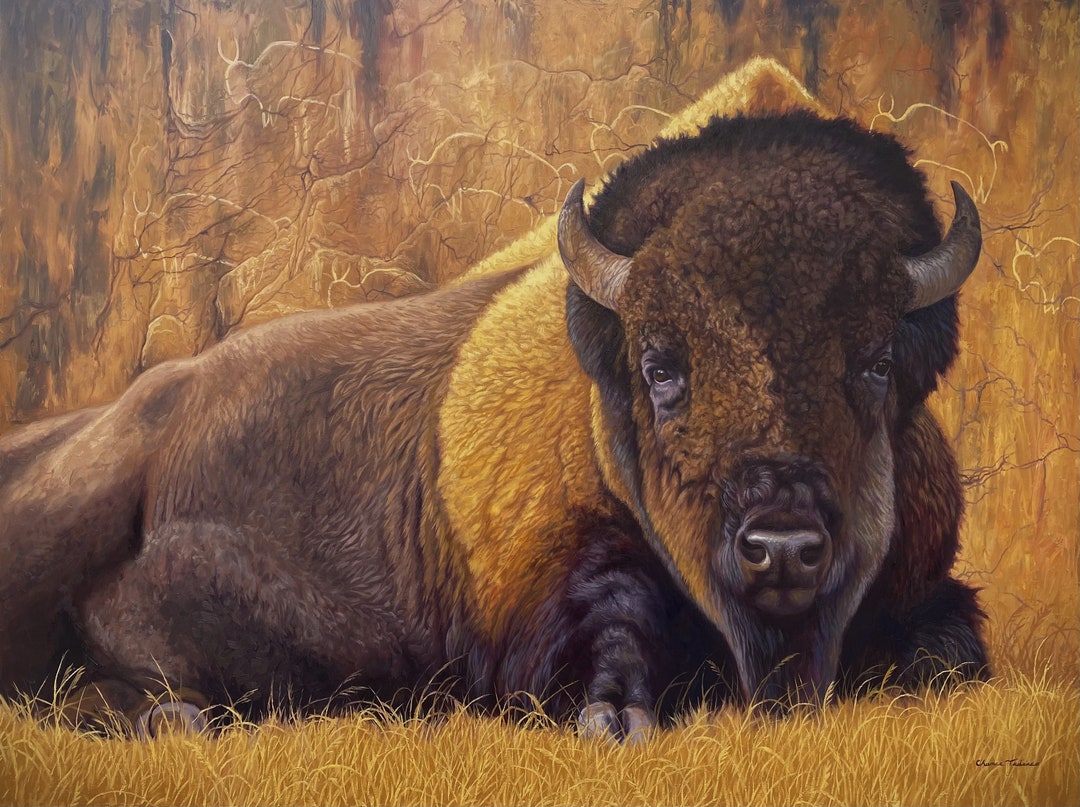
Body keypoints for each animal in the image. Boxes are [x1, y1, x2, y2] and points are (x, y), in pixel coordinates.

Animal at [0, 111, 989, 740]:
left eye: (876, 362)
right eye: (660, 366)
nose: (780, 546)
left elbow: (956, 653)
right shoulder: (552, 587)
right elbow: (610, 625)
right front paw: (614, 716)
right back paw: (173, 719)